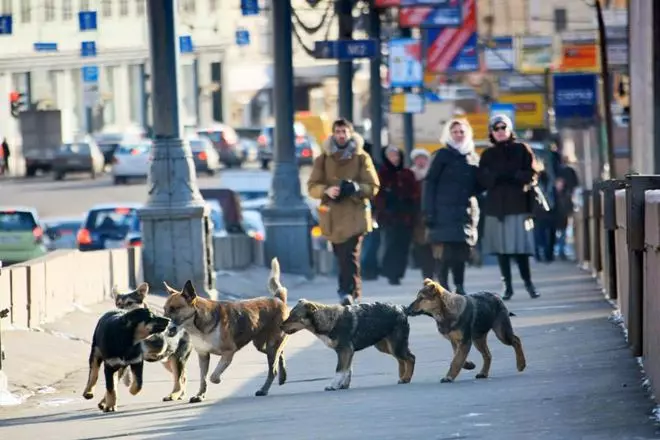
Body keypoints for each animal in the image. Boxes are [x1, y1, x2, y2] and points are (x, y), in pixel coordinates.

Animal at [162, 258, 288, 402]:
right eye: (164, 309)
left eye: (175, 309)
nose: (163, 325)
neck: (197, 323)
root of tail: (278, 299)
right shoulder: (203, 355)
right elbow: (203, 379)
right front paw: (200, 395)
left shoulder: (228, 352)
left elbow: (212, 376)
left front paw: (217, 380)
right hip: (261, 345)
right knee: (280, 353)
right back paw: (283, 375)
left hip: (271, 345)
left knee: (273, 369)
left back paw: (264, 389)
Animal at [282, 300, 416, 392]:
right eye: (289, 315)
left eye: (294, 317)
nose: (280, 326)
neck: (328, 320)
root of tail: (402, 308)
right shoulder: (347, 352)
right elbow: (347, 370)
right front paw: (343, 385)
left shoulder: (344, 351)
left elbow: (340, 370)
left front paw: (333, 386)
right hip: (385, 346)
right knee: (401, 360)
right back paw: (402, 377)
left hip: (395, 345)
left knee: (410, 358)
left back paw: (406, 378)